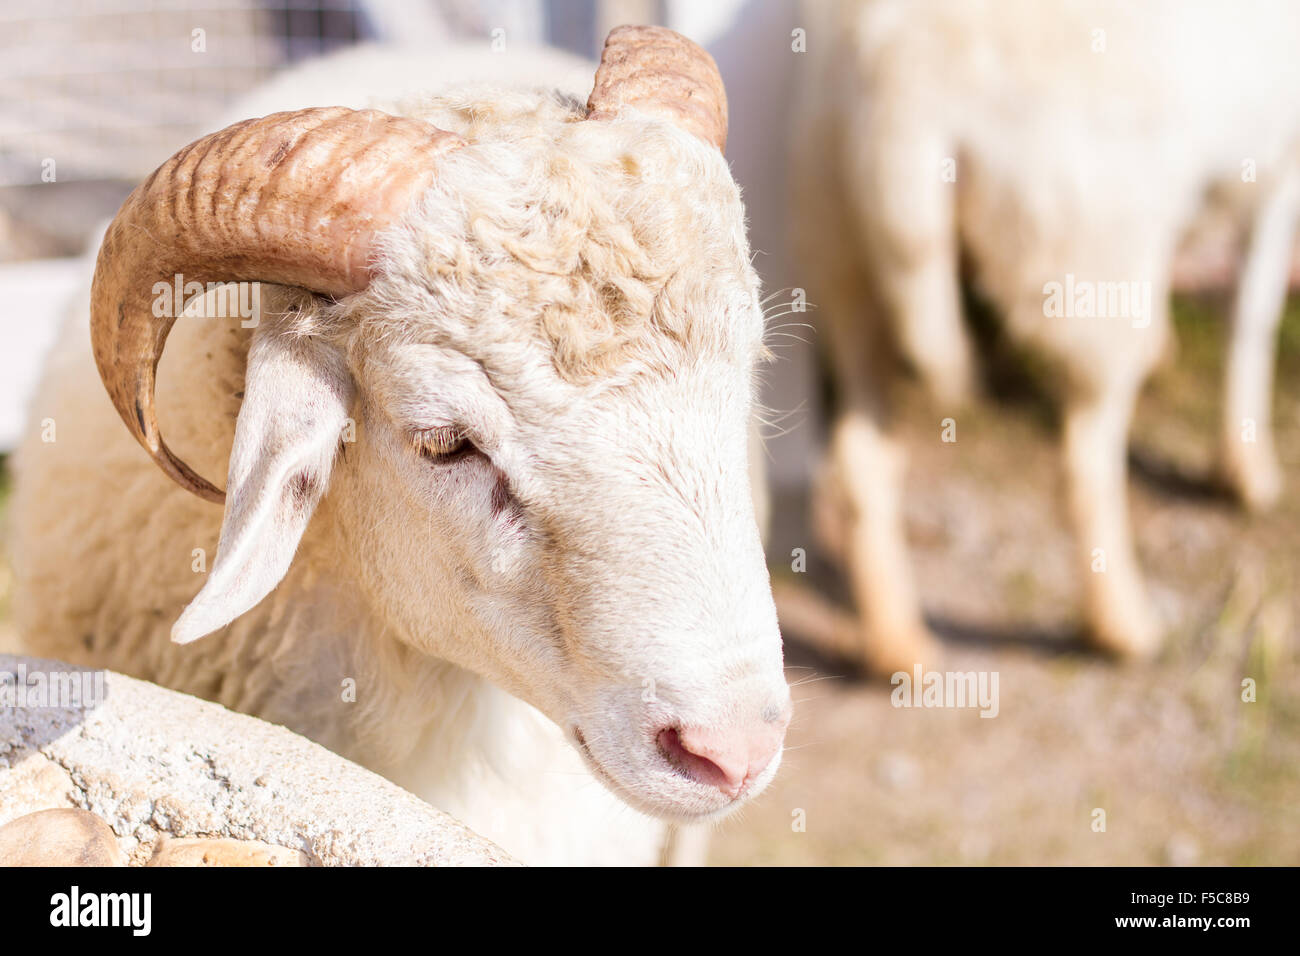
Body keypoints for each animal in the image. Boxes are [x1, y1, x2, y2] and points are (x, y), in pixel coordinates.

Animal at [793, 0, 1300, 669]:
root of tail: (901, 74)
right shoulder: (1281, 173)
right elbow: (1252, 315)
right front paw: (1247, 470)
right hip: (1094, 256)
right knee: (1083, 464)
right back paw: (1122, 625)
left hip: (846, 256)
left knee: (861, 459)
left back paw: (899, 647)